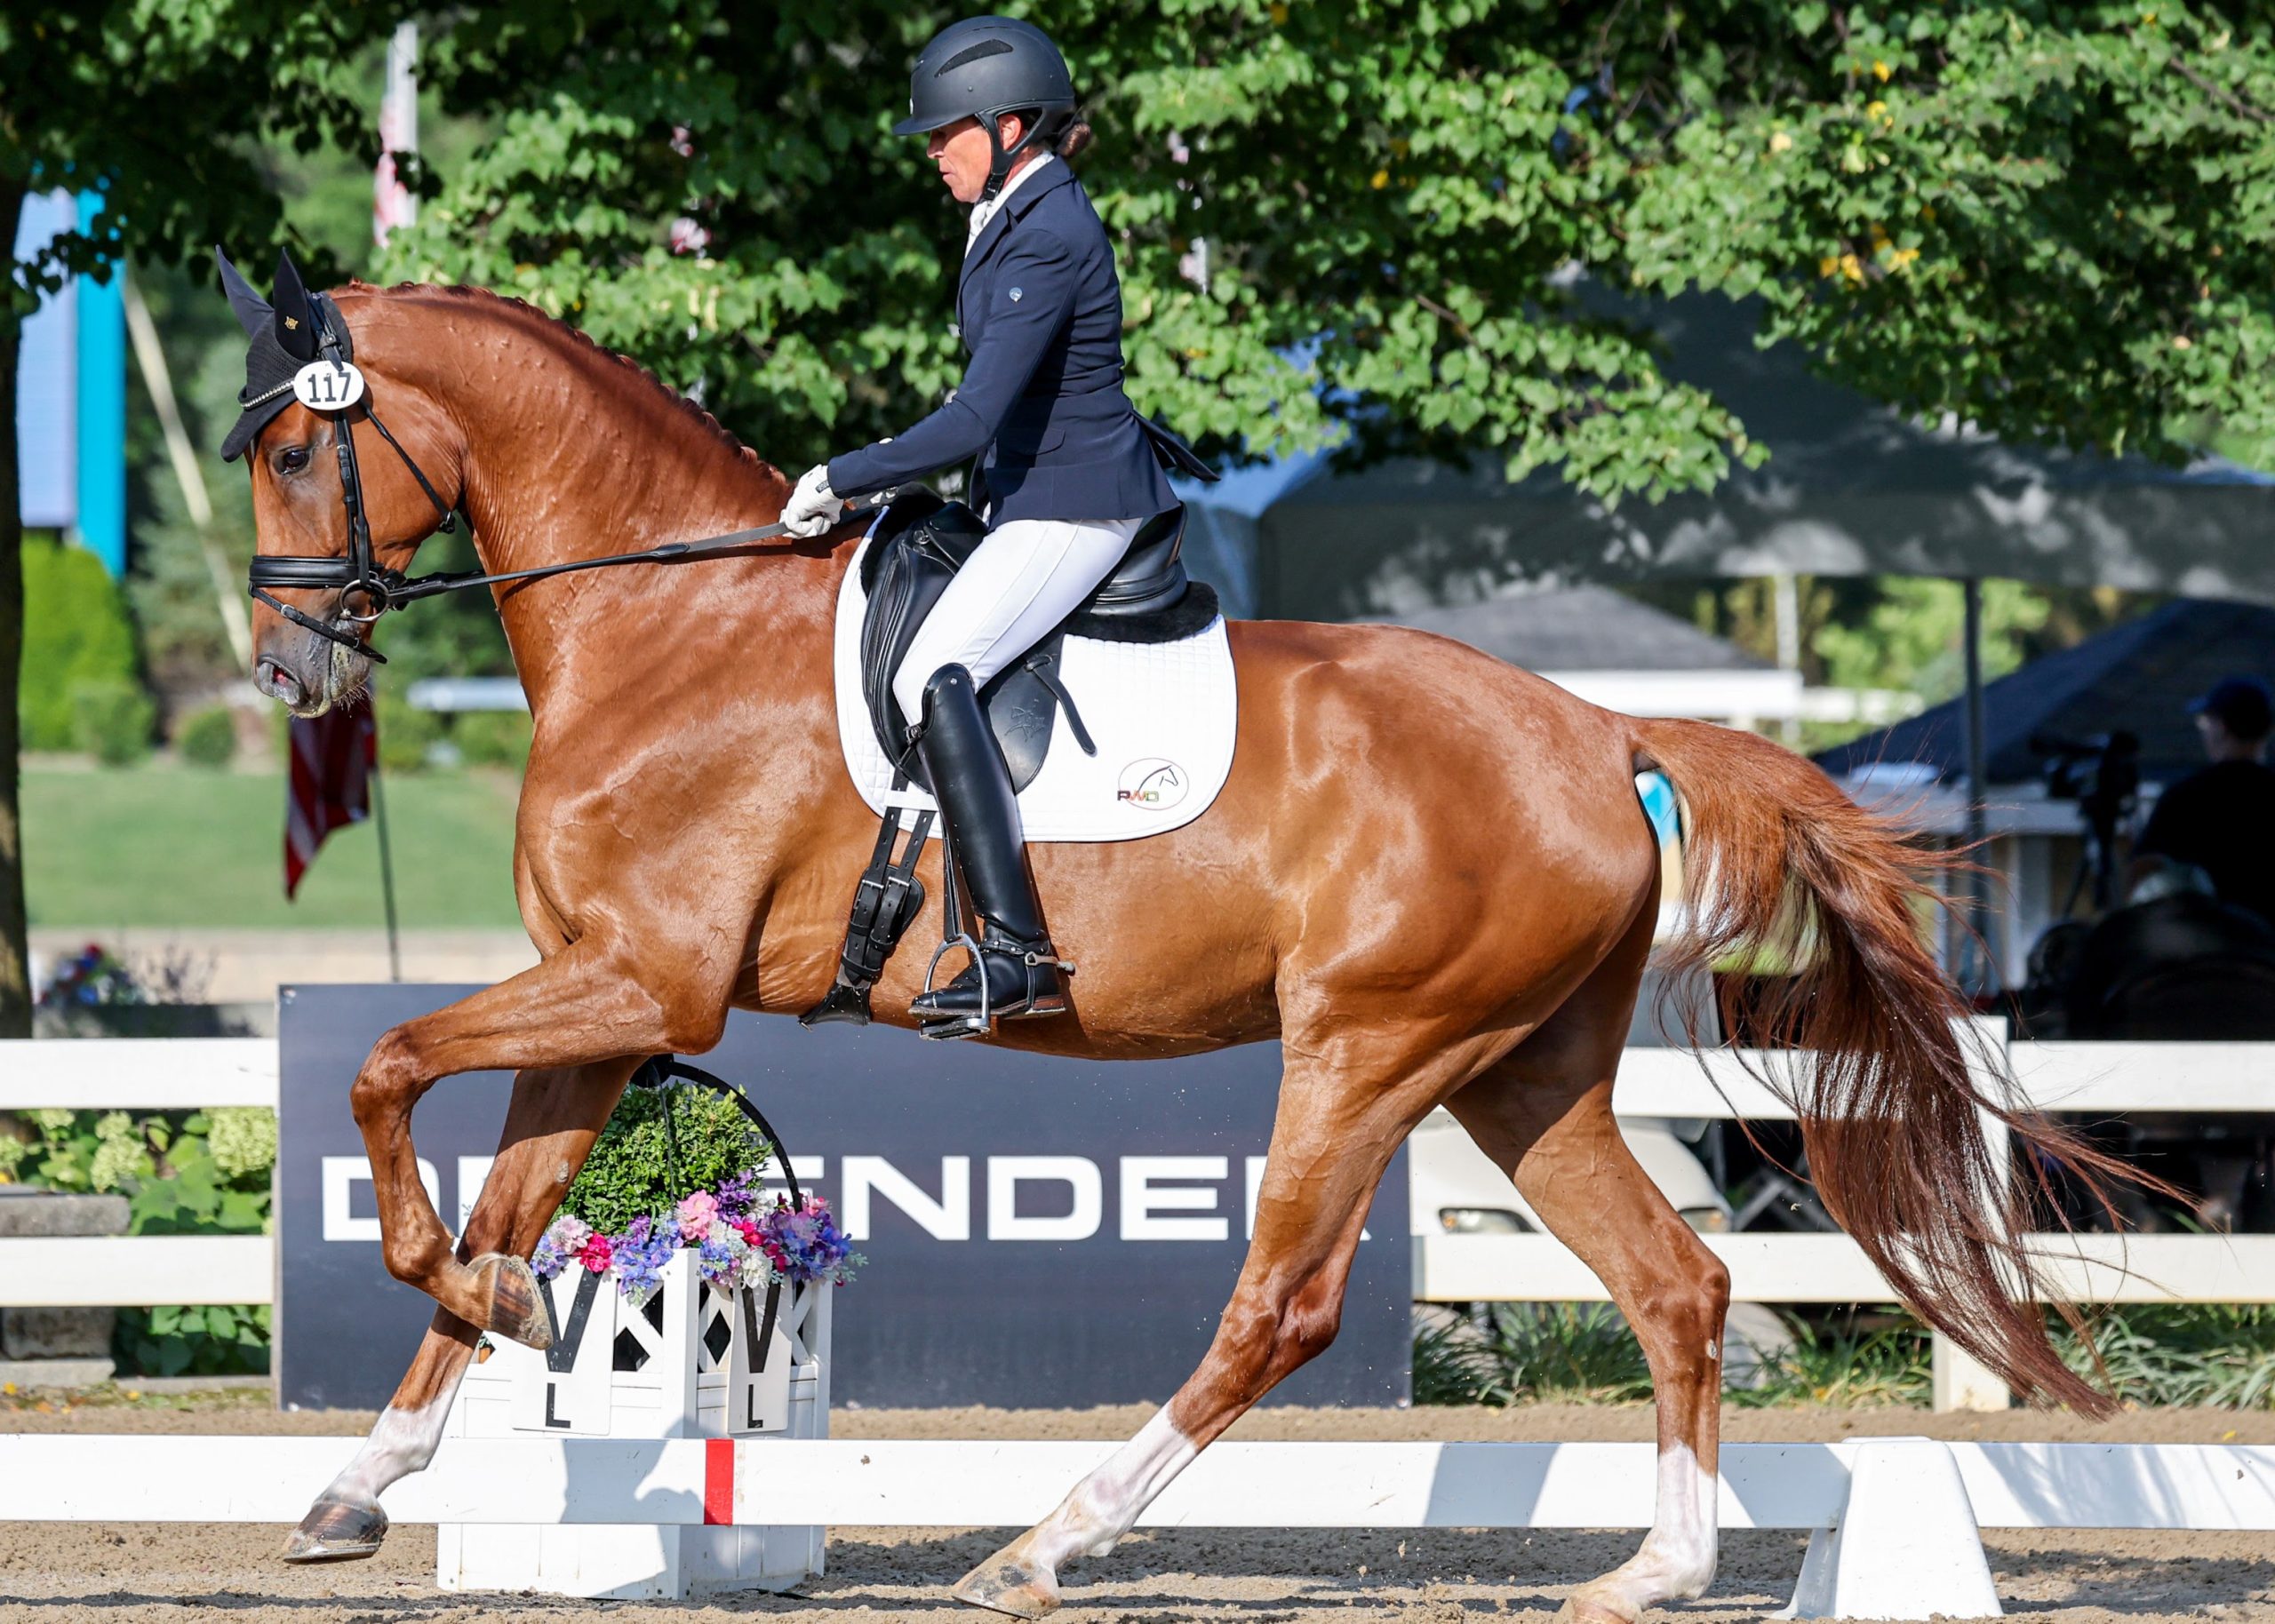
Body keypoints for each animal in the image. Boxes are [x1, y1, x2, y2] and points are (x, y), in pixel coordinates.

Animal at [239, 277, 2117, 1622]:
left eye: (292, 452)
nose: (283, 674)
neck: (665, 618)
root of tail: (1600, 732)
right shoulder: (603, 991)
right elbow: (493, 1196)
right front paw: (370, 1471)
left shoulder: (650, 977)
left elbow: (382, 1064)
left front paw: (474, 1321)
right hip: (1522, 1072)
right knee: (1676, 1282)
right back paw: (1653, 1570)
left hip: (1368, 1045)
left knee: (1281, 1305)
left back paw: (1046, 1543)